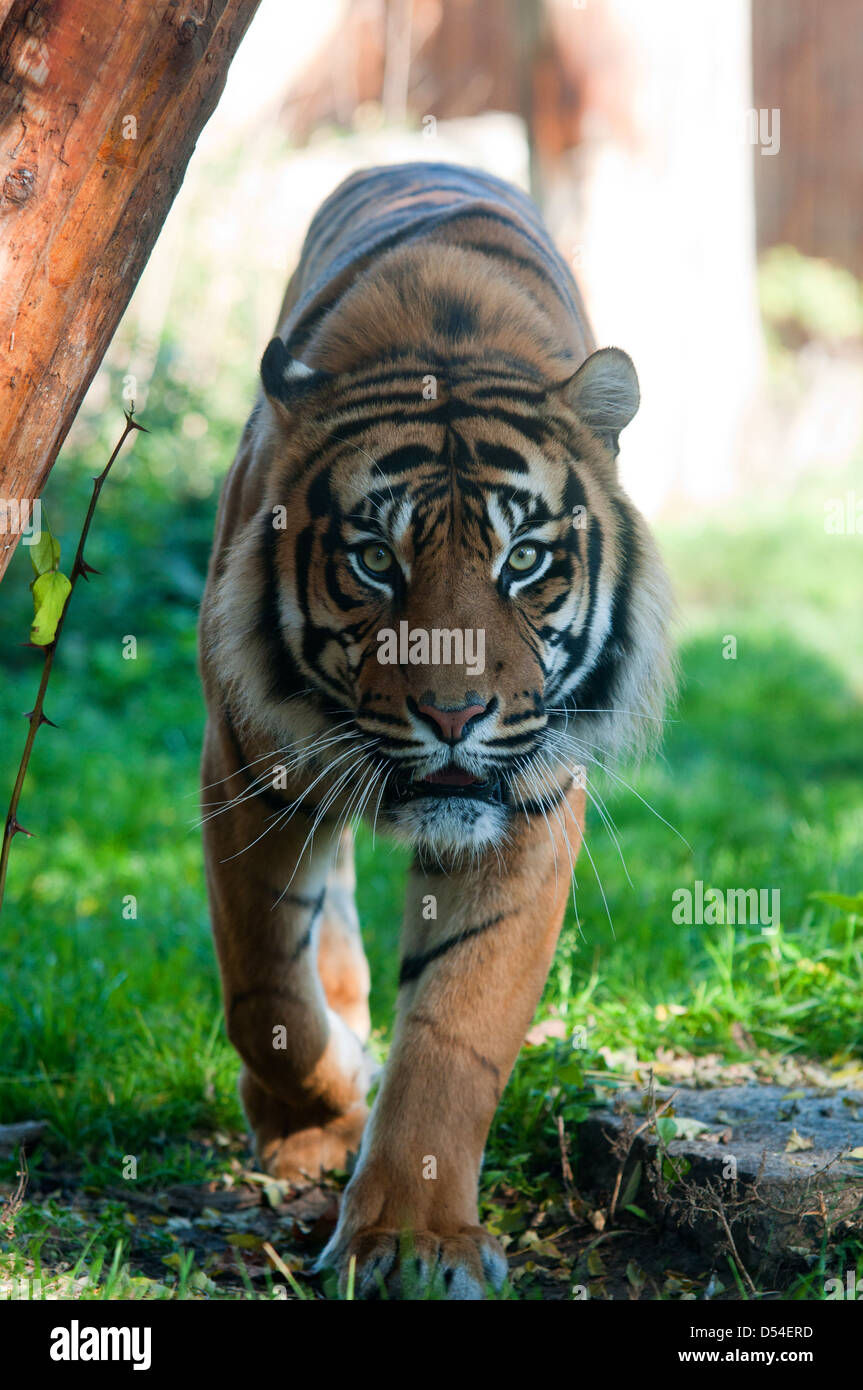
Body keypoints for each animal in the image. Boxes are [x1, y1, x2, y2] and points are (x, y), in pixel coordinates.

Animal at [198, 161, 674, 1299]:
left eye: (524, 559)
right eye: (376, 559)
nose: (453, 714)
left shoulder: (528, 802)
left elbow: (457, 1028)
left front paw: (414, 1239)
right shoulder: (246, 762)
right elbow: (266, 990)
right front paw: (318, 1117)